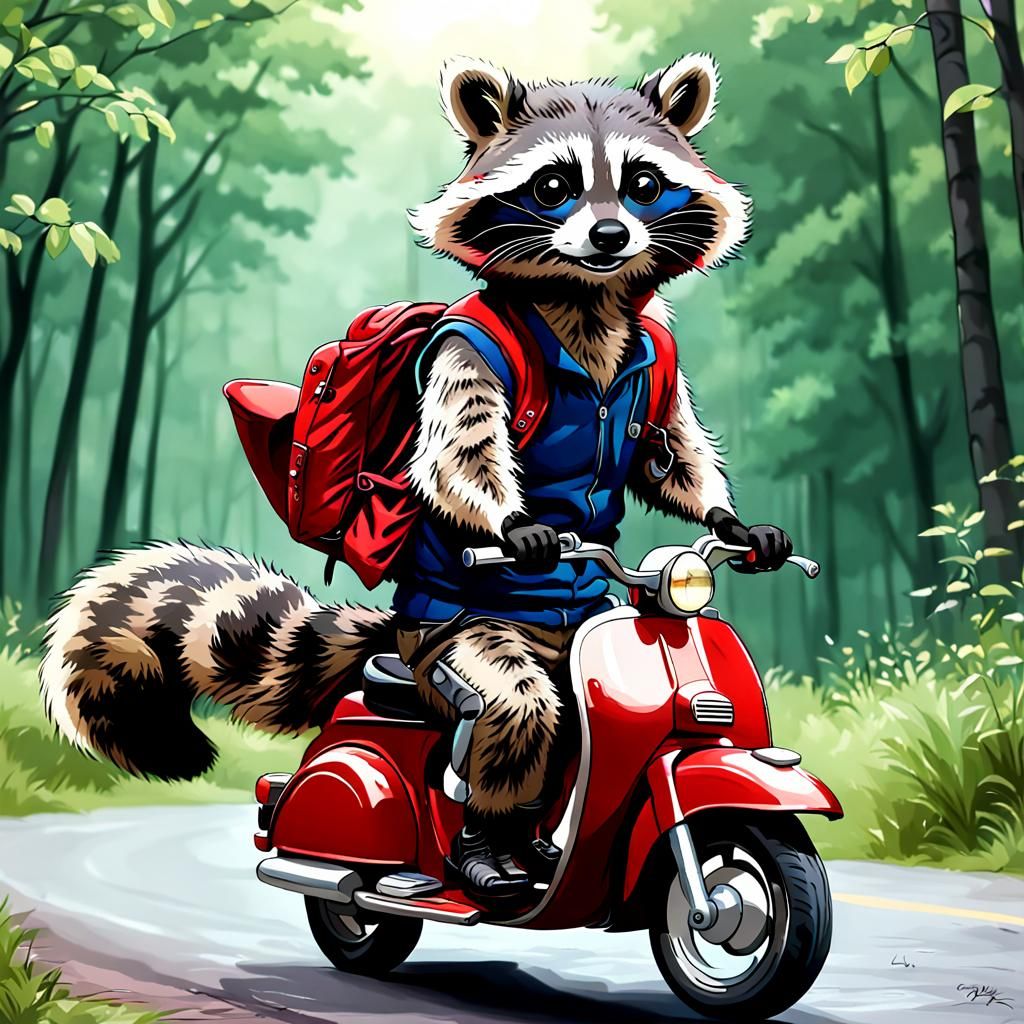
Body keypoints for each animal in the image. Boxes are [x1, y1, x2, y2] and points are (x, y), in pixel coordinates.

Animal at [41, 54, 789, 893]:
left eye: (645, 185)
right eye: (553, 186)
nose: (609, 235)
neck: (580, 306)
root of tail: (383, 663)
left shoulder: (653, 358)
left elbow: (673, 453)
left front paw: (734, 524)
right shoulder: (467, 349)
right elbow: (456, 457)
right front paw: (518, 529)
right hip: (406, 704)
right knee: (474, 730)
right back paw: (468, 853)